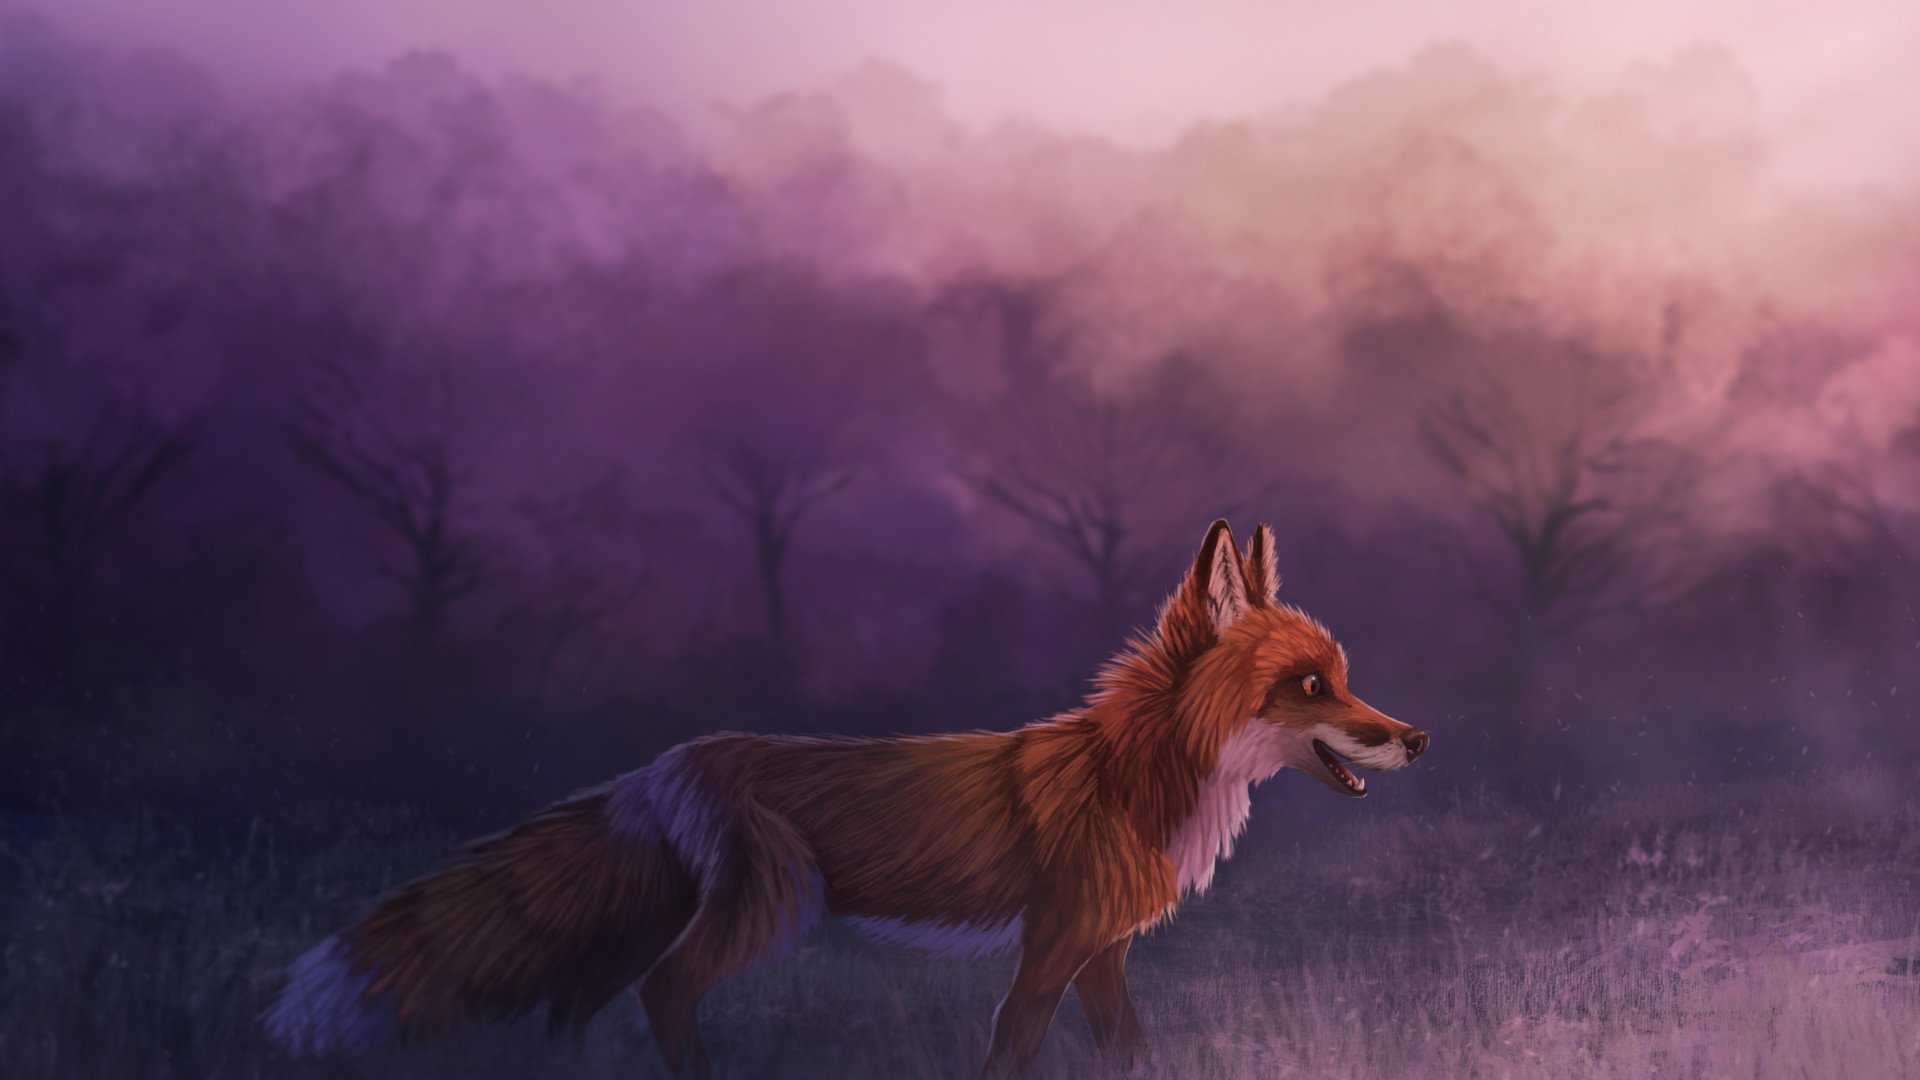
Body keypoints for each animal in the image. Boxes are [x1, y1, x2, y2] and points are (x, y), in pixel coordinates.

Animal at [264, 519, 1429, 1077]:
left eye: (1343, 676)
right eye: (1311, 686)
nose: (1415, 737)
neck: (1135, 773)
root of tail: (664, 765)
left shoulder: (1103, 955)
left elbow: (1133, 1056)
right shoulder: (1051, 946)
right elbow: (1007, 1054)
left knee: (593, 1002)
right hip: (766, 903)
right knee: (663, 991)